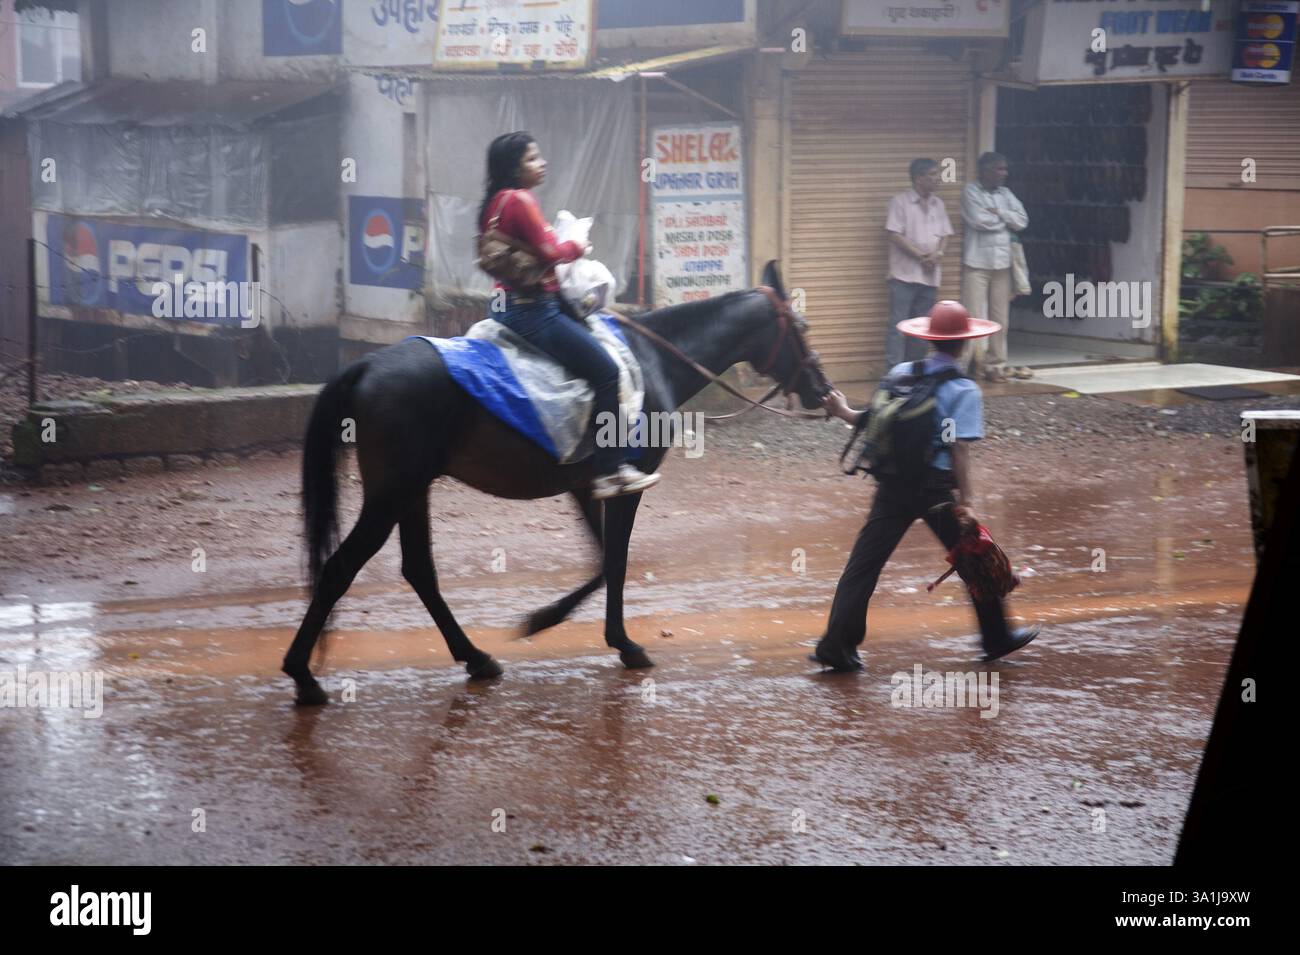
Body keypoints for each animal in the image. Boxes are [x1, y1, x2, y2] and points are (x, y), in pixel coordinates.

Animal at [283, 261, 831, 704]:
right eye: (801, 327)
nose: (823, 389)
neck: (651, 360)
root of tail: (365, 365)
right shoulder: (626, 482)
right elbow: (616, 560)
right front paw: (610, 639)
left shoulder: (589, 485)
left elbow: (603, 560)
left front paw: (557, 620)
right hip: (392, 491)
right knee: (340, 569)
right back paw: (303, 675)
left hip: (413, 489)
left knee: (419, 570)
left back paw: (475, 657)